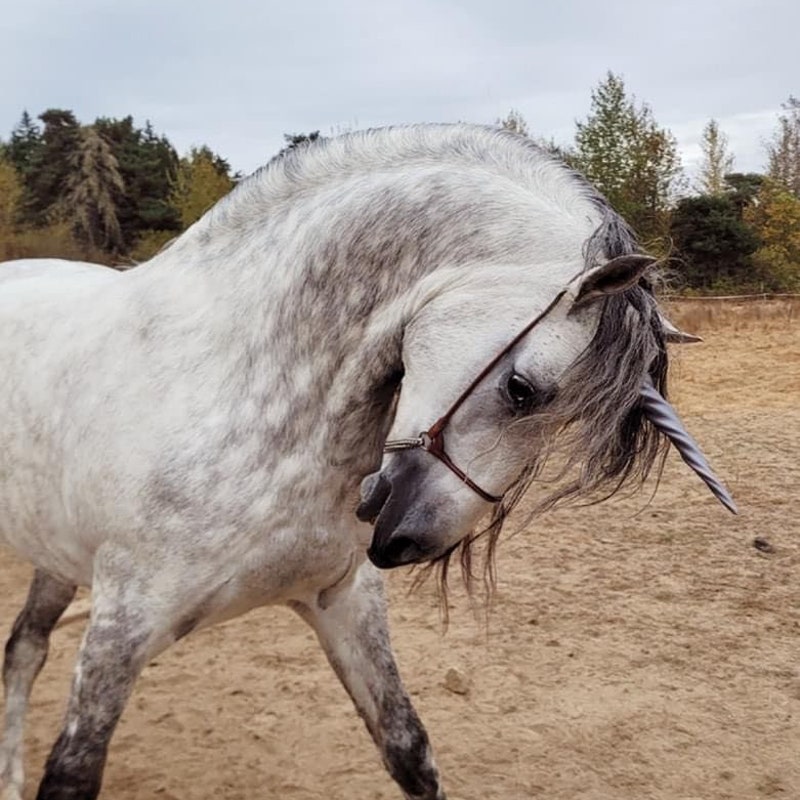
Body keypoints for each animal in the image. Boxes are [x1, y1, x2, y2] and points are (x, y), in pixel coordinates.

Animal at [0, 124, 733, 800]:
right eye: (522, 389)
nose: (409, 539)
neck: (238, 387)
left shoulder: (344, 601)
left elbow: (409, 750)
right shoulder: (122, 625)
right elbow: (70, 774)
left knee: (24, 648)